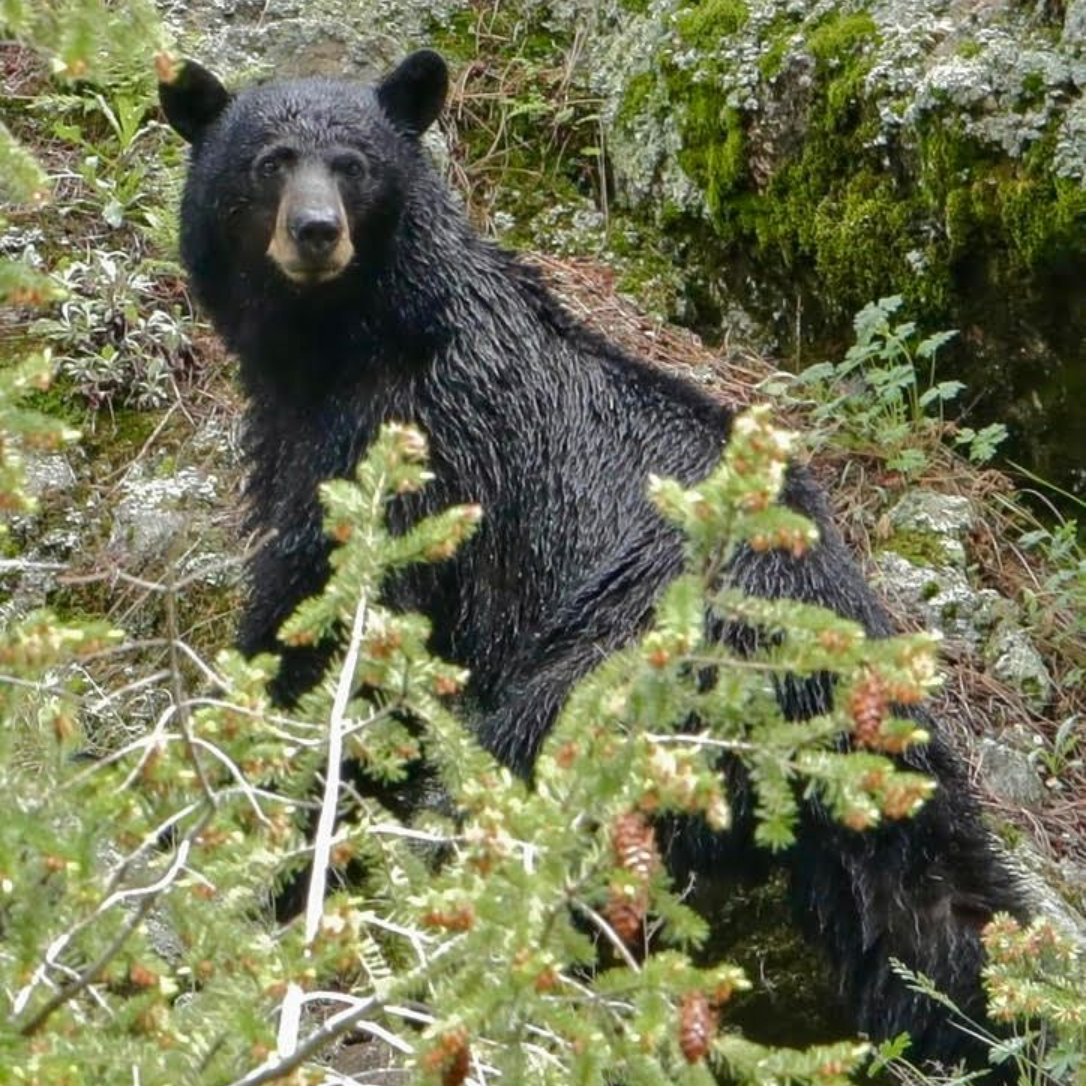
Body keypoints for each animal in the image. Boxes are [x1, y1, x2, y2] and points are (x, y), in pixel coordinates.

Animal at [159, 49, 1026, 1078]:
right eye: (270, 161)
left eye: (353, 164)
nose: (316, 231)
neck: (359, 337)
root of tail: (801, 669)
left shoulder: (412, 454)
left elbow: (340, 617)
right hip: (888, 763)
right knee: (936, 909)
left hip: (612, 675)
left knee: (521, 797)